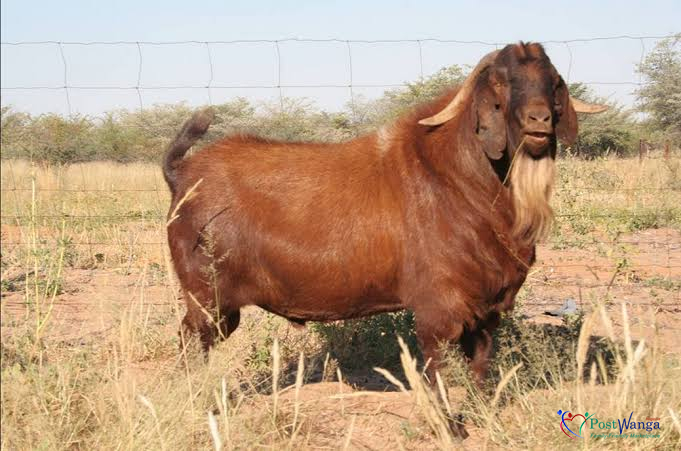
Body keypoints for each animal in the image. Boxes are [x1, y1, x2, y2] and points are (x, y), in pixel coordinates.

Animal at [164, 42, 606, 388]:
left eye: (553, 81)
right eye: (500, 82)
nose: (539, 120)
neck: (462, 176)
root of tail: (183, 173)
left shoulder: (487, 310)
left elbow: (480, 367)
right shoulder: (438, 309)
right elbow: (439, 373)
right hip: (207, 298)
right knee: (191, 341)